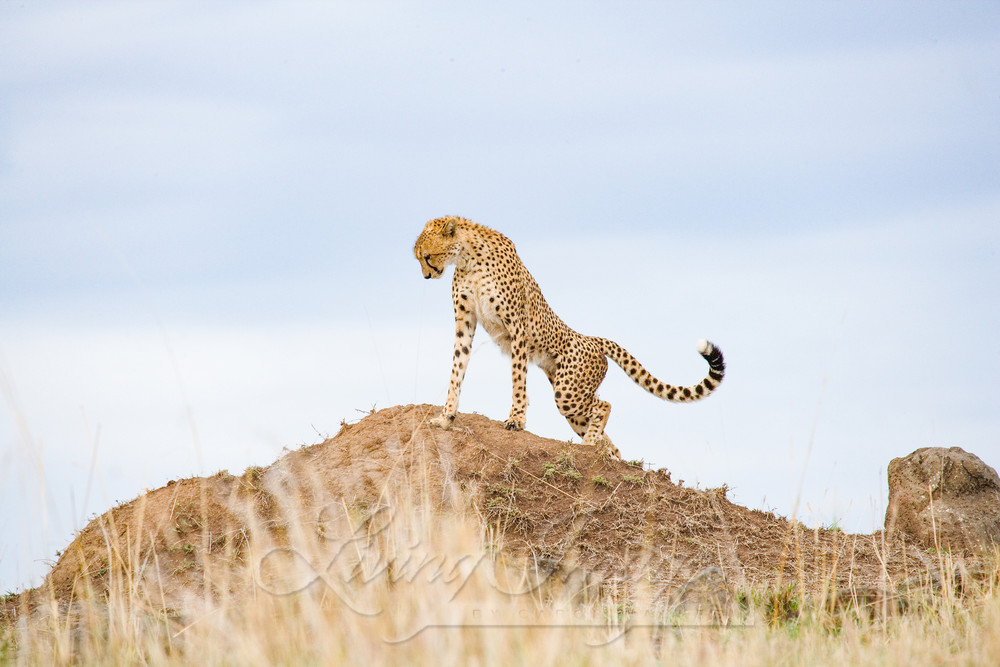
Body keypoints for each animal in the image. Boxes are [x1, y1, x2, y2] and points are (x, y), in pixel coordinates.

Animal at [413, 215, 725, 457]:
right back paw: (604, 452)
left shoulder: (517, 328)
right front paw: (446, 417)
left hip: (568, 392)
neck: (468, 256)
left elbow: (517, 378)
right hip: (571, 401)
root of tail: (590, 338)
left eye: (427, 256)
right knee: (608, 437)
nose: (426, 276)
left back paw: (590, 444)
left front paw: (516, 419)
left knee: (604, 405)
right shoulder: (465, 323)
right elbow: (457, 370)